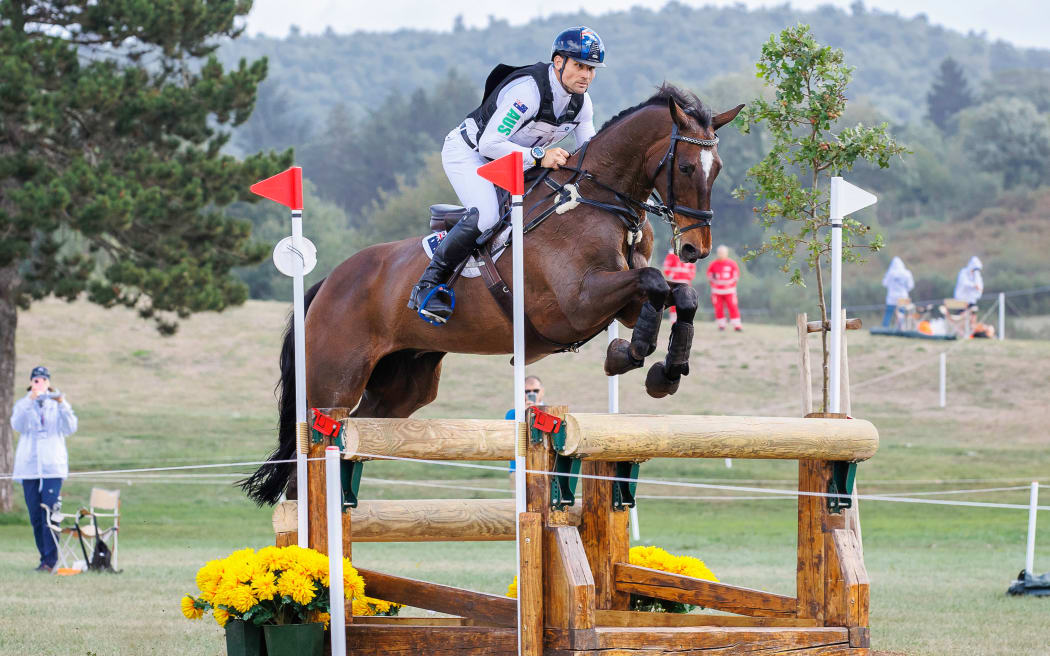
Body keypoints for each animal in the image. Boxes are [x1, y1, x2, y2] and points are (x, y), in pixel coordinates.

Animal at [241, 85, 743, 505]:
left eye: (717, 169)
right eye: (685, 167)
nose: (695, 248)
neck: (596, 202)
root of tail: (327, 284)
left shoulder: (618, 300)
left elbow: (679, 295)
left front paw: (662, 370)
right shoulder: (574, 305)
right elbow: (655, 281)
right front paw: (630, 353)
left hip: (402, 386)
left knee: (358, 435)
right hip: (333, 385)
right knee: (304, 467)